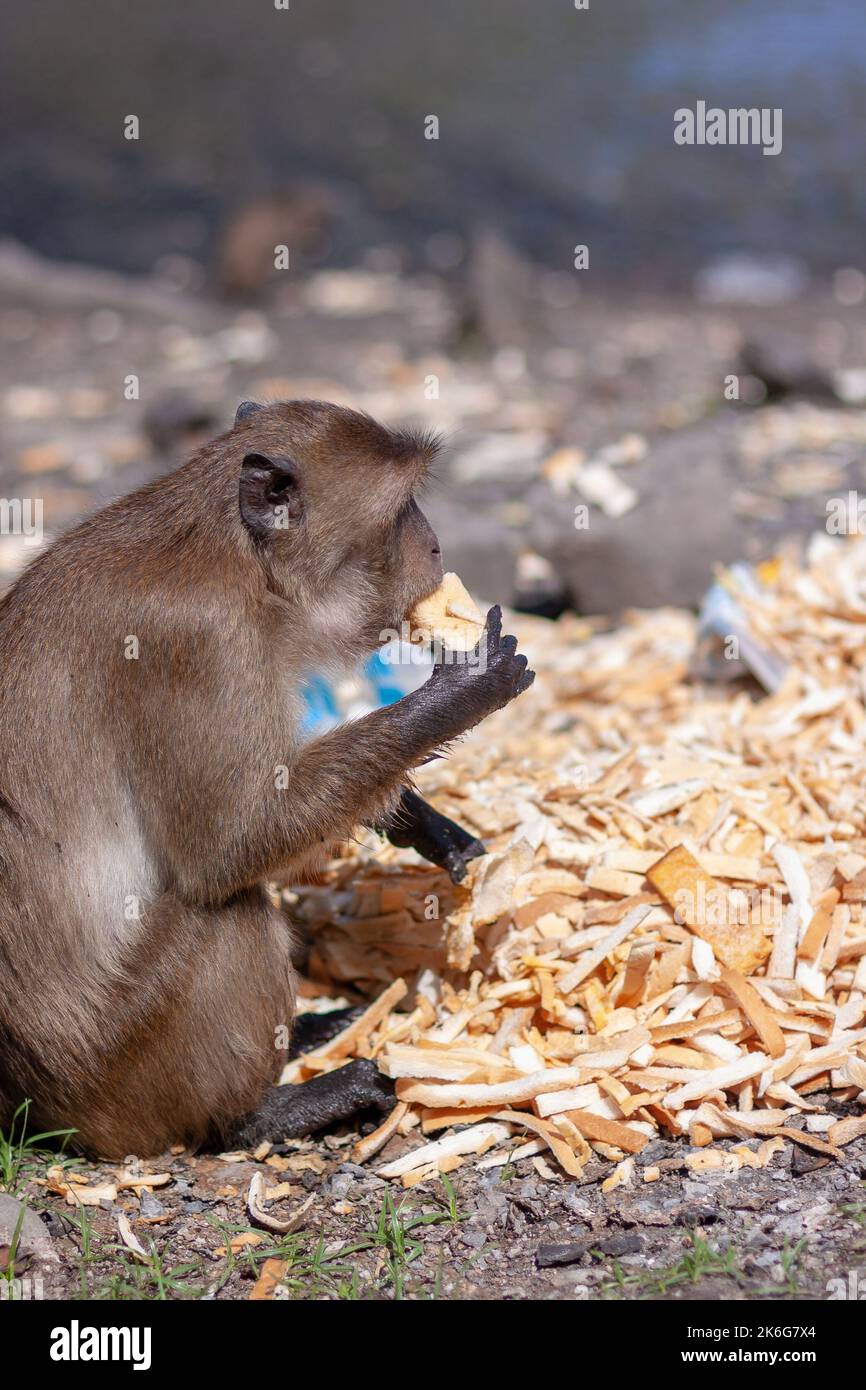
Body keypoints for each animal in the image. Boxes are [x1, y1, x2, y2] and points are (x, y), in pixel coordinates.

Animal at [0, 399, 534, 1159]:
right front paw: (461, 694)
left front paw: (417, 819)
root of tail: (41, 1118)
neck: (235, 562)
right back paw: (255, 1116)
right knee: (228, 913)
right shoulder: (197, 643)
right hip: (118, 1072)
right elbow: (228, 847)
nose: (434, 546)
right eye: (404, 509)